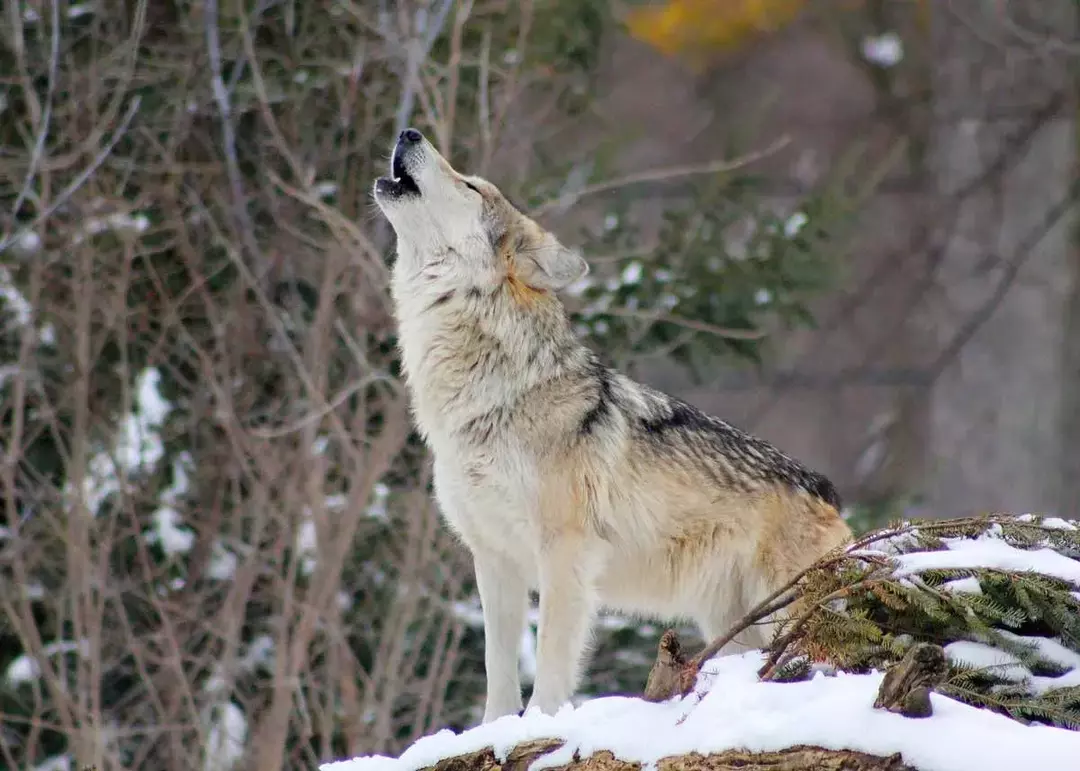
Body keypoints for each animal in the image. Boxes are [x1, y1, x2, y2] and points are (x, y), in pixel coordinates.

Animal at [371, 126, 851, 721]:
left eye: (471, 185)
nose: (408, 131)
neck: (492, 396)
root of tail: (828, 491)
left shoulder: (565, 554)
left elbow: (551, 663)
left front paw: (540, 724)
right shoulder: (494, 559)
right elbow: (497, 670)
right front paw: (495, 729)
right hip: (734, 626)